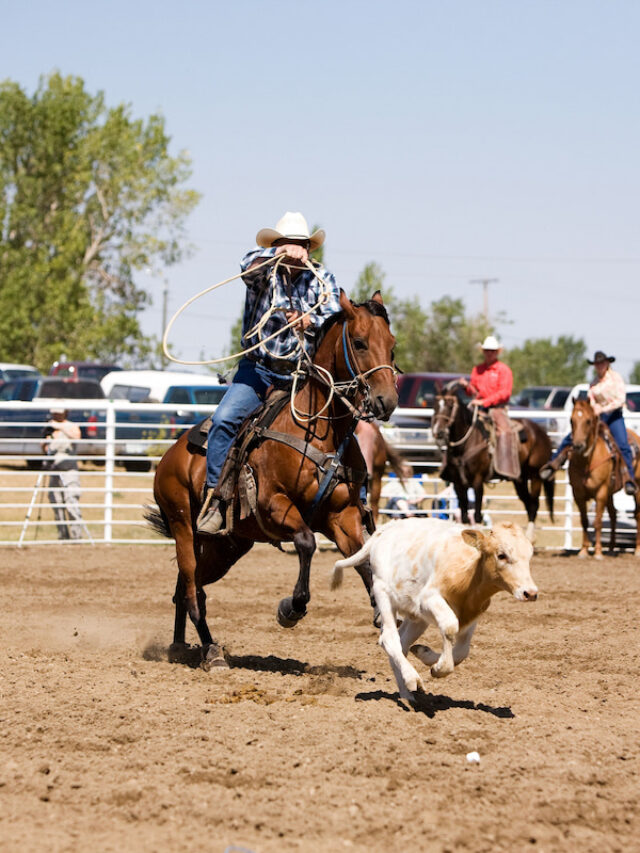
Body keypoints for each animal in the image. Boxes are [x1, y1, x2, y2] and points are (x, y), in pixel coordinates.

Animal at [146, 291, 398, 668]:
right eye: (359, 342)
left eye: (392, 345)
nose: (387, 401)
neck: (319, 429)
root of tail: (168, 456)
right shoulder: (272, 505)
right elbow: (306, 542)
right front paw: (291, 608)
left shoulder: (343, 516)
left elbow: (363, 557)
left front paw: (382, 615)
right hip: (183, 528)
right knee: (191, 590)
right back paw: (211, 651)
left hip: (227, 546)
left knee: (187, 587)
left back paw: (181, 645)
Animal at [431, 381, 554, 540]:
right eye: (434, 404)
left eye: (450, 405)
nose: (438, 431)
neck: (467, 442)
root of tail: (542, 433)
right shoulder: (458, 484)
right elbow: (464, 515)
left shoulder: (477, 481)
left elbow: (477, 514)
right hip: (519, 479)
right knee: (528, 503)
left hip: (535, 475)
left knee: (534, 504)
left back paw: (529, 538)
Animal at [567, 397, 640, 559]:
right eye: (571, 420)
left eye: (588, 421)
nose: (578, 445)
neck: (586, 462)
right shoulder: (578, 494)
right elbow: (584, 520)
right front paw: (583, 550)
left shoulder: (600, 492)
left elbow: (597, 522)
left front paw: (598, 552)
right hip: (610, 492)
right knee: (613, 514)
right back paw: (612, 548)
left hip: (636, 489)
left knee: (638, 514)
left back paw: (638, 550)